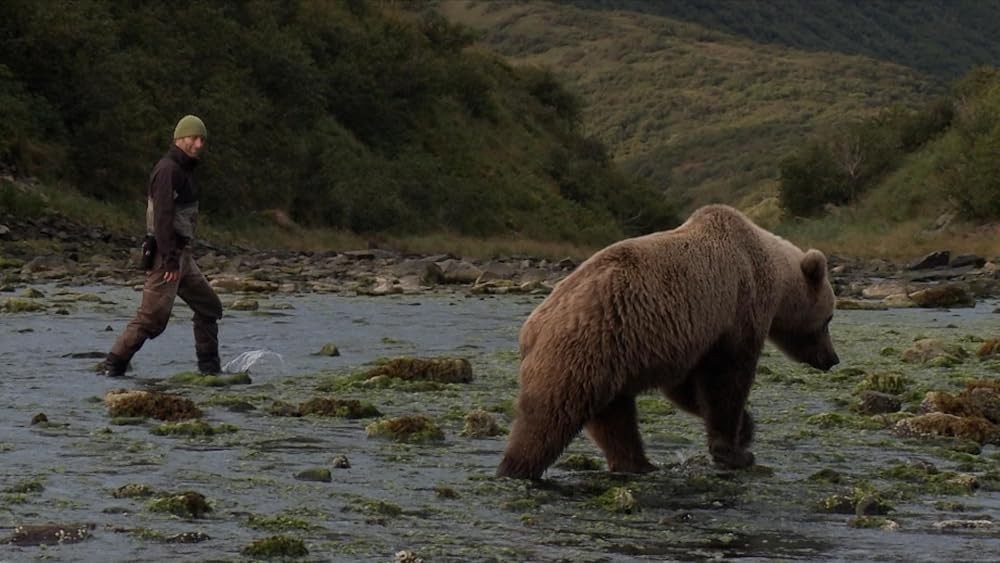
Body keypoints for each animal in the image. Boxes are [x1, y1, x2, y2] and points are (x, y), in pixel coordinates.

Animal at [497, 204, 839, 480]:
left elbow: (687, 389)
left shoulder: (690, 338)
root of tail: (531, 327)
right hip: (581, 350)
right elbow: (726, 381)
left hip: (608, 363)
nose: (832, 358)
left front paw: (745, 429)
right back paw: (515, 469)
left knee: (613, 418)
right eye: (829, 318)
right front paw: (737, 451)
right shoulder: (737, 309)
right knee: (549, 417)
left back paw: (638, 465)